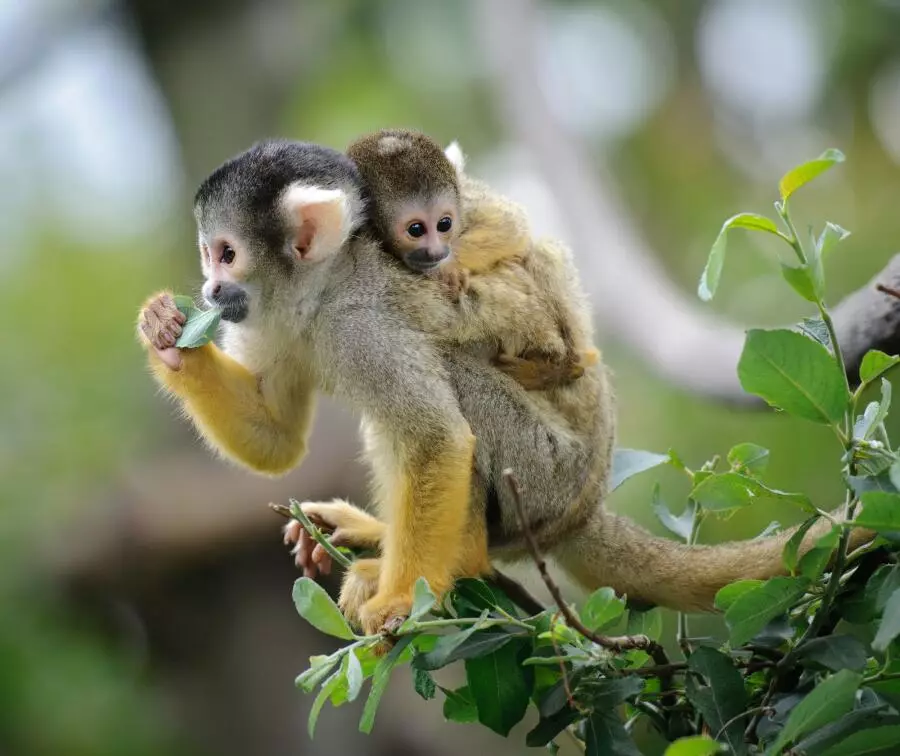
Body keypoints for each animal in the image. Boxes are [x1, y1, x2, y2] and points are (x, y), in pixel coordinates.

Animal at [346, 129, 596, 390]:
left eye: (444, 224)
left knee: (543, 251)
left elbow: (510, 225)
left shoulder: (466, 199)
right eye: (416, 230)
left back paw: (564, 367)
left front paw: (450, 268)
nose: (437, 253)